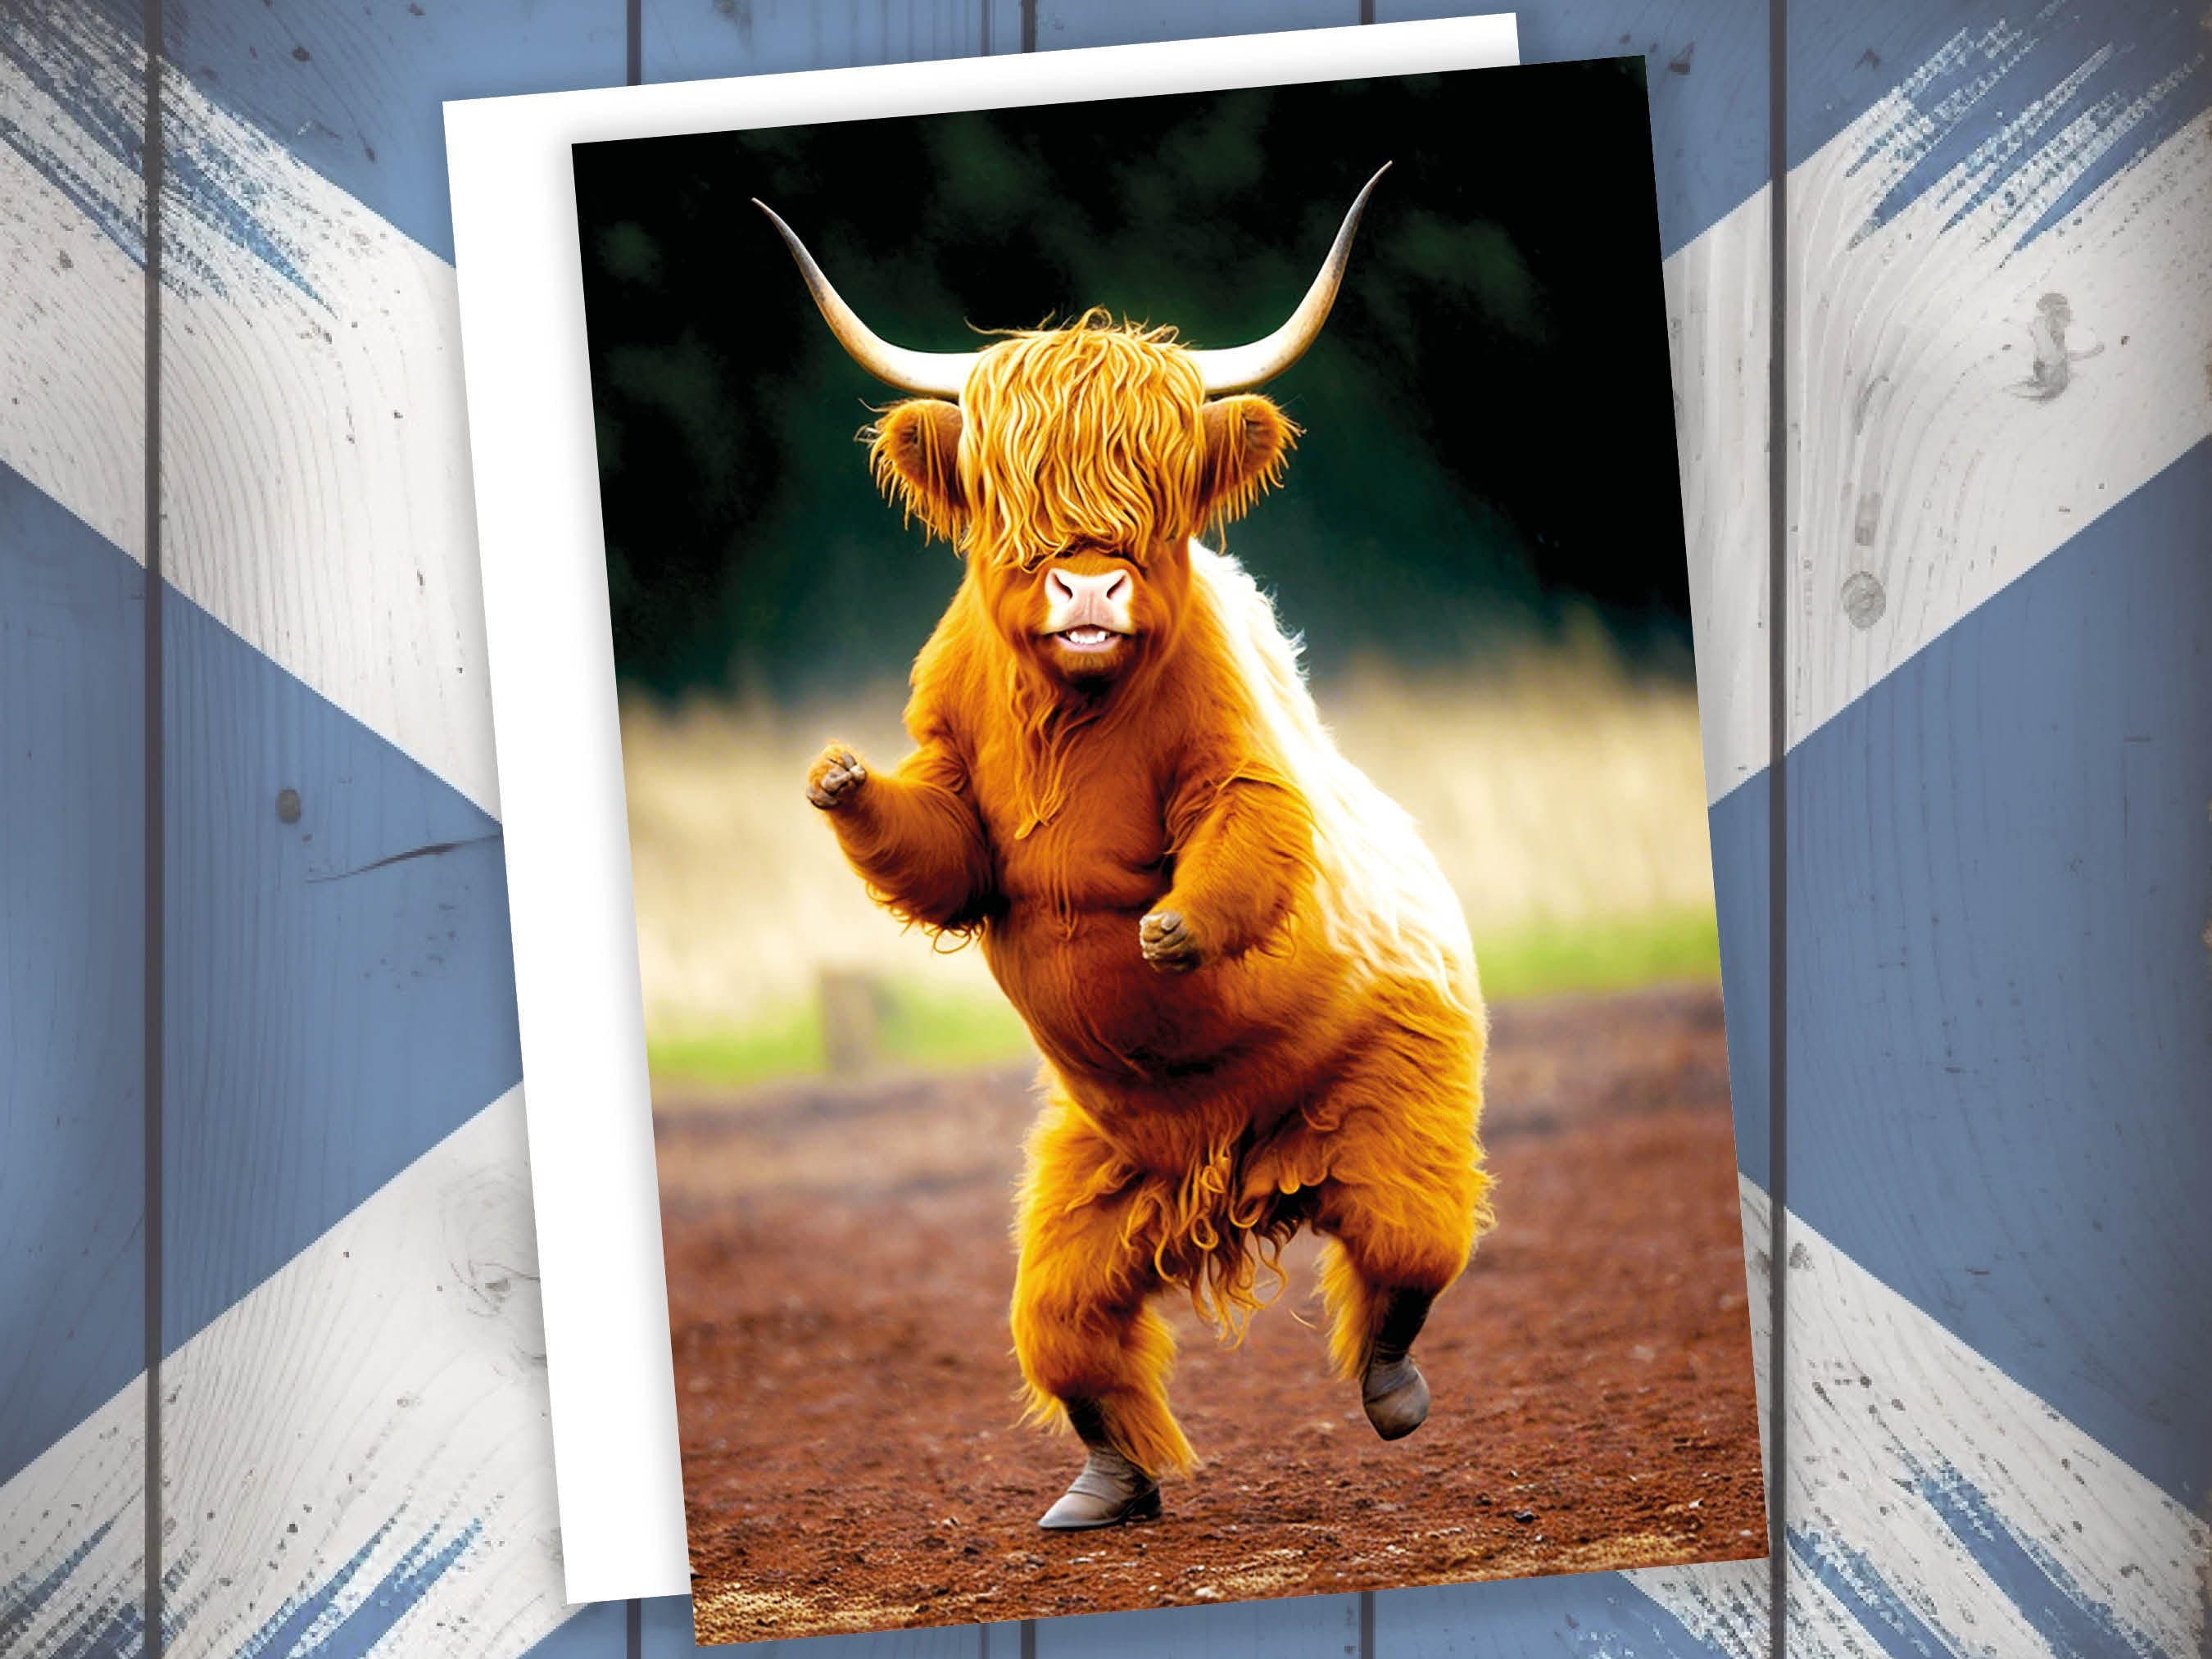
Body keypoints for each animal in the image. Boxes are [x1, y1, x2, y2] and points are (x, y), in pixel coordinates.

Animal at [762, 168, 1493, 1531]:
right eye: (1014, 504)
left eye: (1154, 503)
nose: (1091, 593)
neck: (1074, 716)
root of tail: (1250, 1174)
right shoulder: (950, 774)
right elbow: (933, 849)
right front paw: (837, 778)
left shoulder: (1237, 769)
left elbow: (1246, 842)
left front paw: (1167, 931)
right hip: (1084, 1186)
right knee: (1069, 1332)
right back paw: (1102, 1493)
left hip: (1406, 1105)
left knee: (1407, 1257)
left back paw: (1392, 1392)